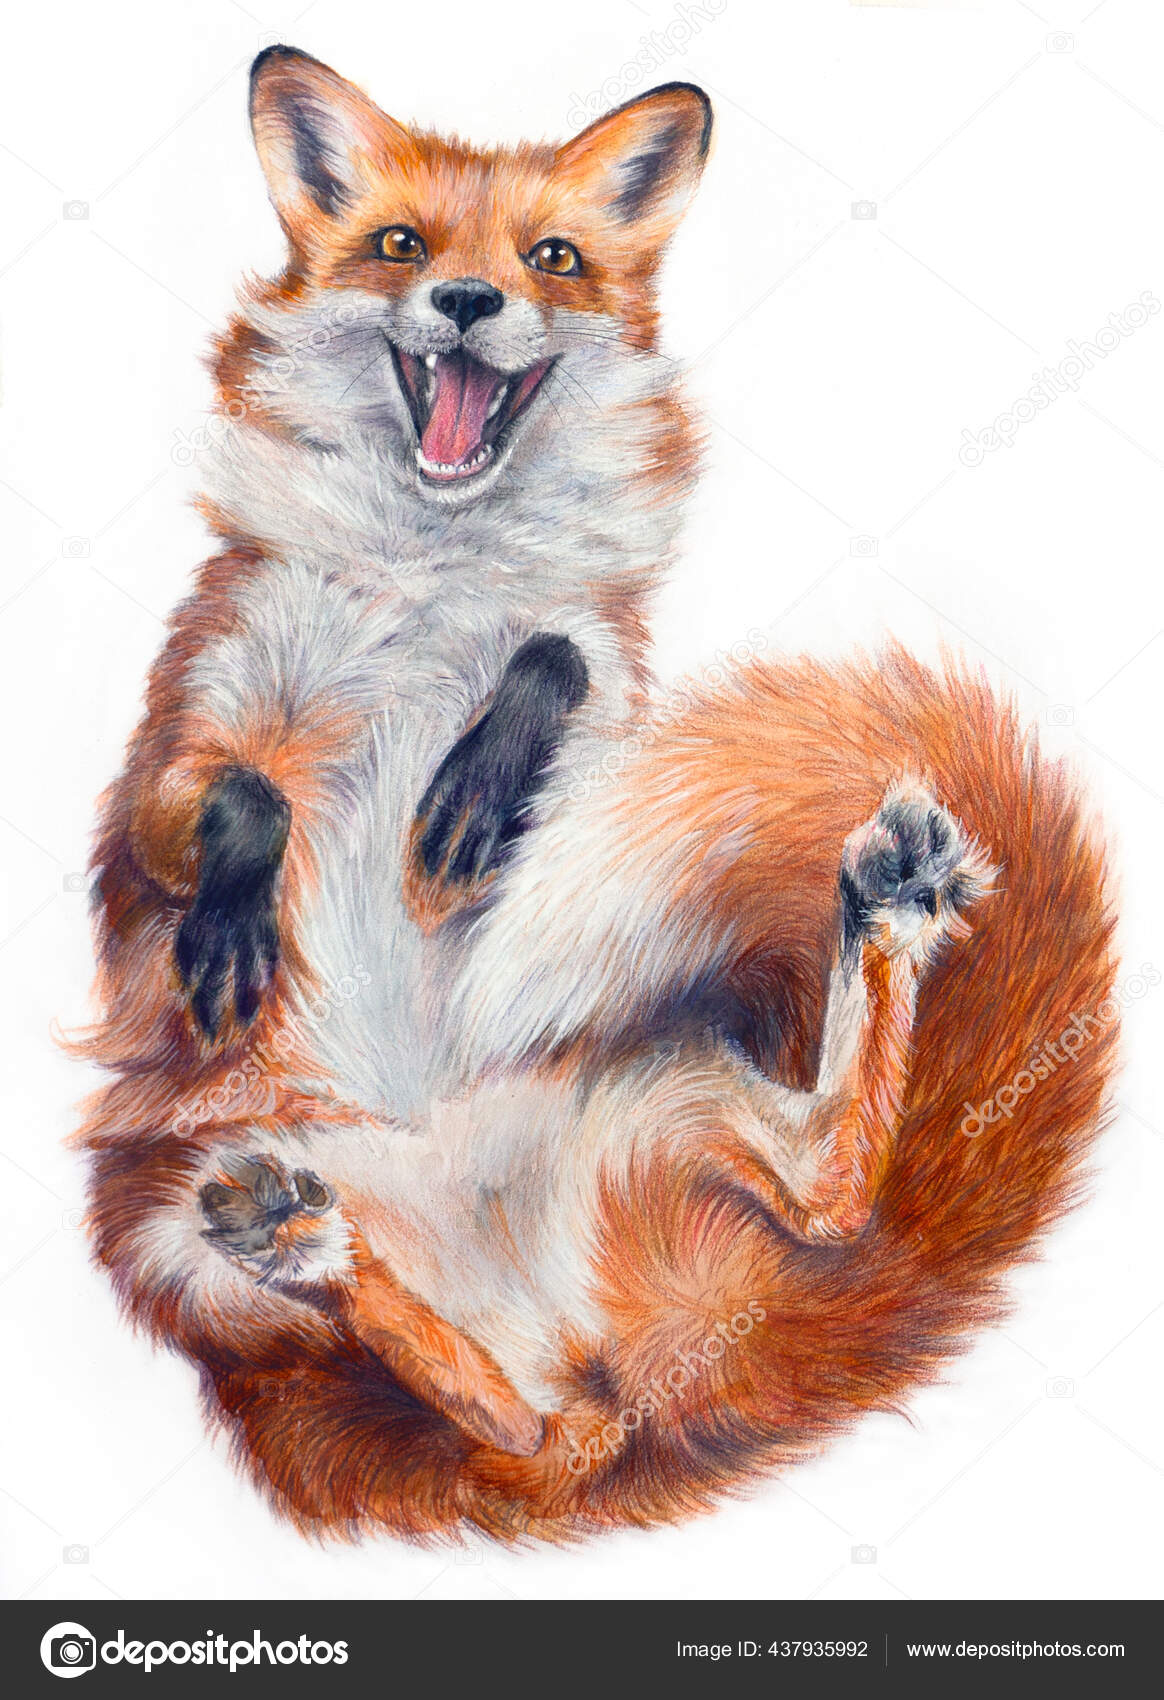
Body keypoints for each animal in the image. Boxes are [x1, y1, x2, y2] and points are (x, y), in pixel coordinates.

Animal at [75, 46, 1118, 1543]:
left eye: (551, 259)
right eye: (402, 246)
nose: (469, 302)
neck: (433, 578)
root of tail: (572, 1332)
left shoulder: (619, 725)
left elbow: (556, 653)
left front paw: (470, 791)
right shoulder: (175, 745)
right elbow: (243, 807)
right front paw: (228, 937)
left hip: (665, 1081)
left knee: (812, 1207)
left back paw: (887, 909)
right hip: (173, 1231)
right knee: (524, 1420)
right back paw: (313, 1244)